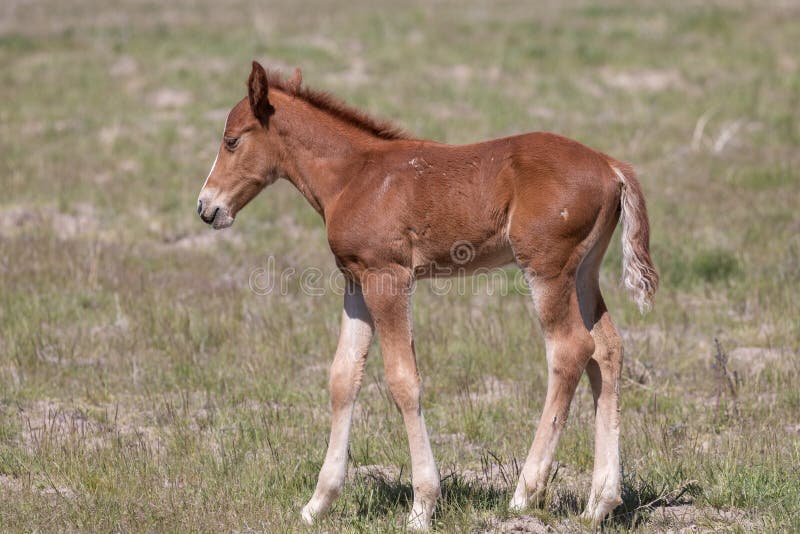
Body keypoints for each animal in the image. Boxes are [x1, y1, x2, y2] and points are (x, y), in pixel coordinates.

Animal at [197, 61, 658, 530]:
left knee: (570, 349)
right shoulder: (356, 281)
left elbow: (404, 381)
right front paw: (317, 504)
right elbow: (343, 378)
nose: (206, 207)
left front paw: (422, 506)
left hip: (547, 268)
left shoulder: (389, 278)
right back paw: (599, 502)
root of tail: (611, 166)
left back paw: (525, 493)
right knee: (607, 350)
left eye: (231, 140)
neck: (355, 176)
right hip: (584, 272)